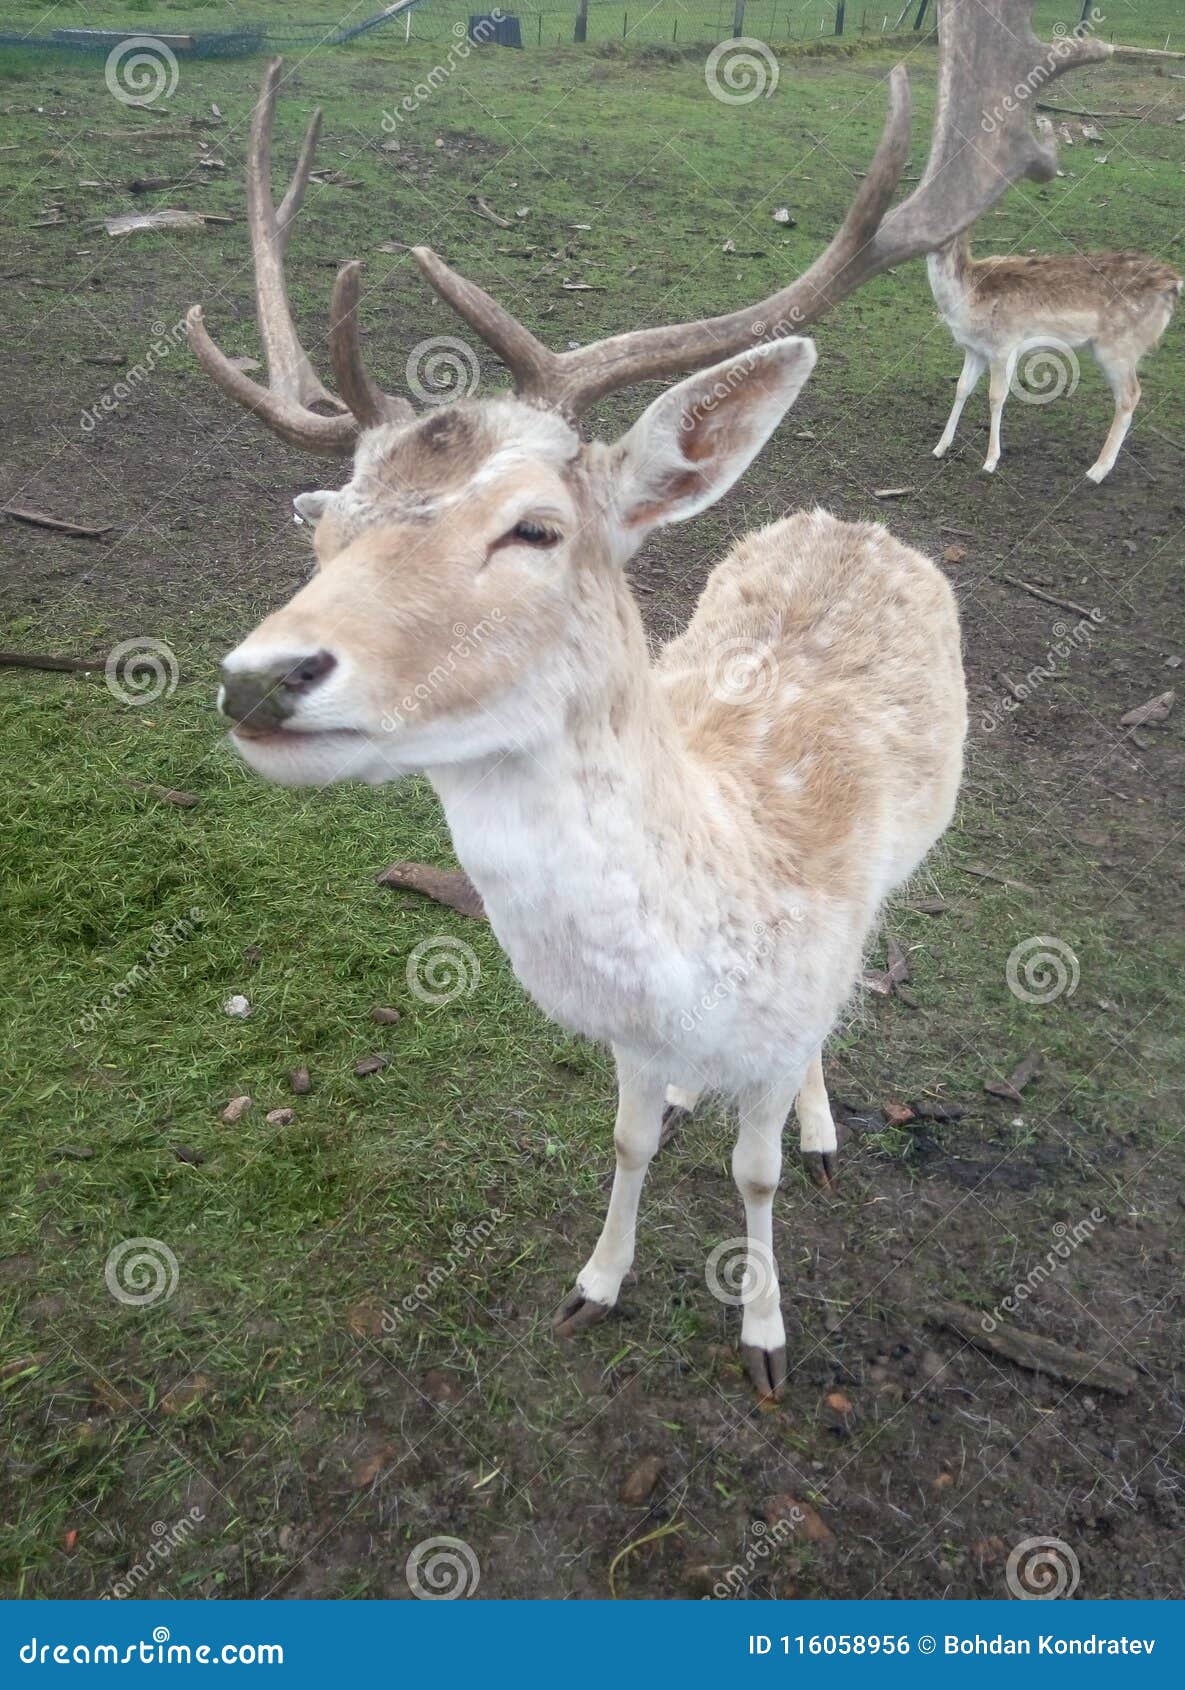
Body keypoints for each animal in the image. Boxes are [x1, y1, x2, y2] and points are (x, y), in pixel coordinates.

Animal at [190, 2, 1104, 1401]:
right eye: (327, 527)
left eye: (535, 527)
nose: (260, 676)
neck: (697, 966)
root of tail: (847, 519)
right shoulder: (624, 1036)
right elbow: (625, 1143)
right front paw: (597, 1282)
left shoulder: (788, 1007)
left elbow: (757, 1167)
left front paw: (767, 1332)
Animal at [928, 233, 1181, 482]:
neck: (969, 296)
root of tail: (1174, 284)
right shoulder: (975, 349)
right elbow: (962, 388)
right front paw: (940, 447)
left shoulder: (1005, 346)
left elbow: (996, 397)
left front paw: (990, 461)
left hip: (1118, 348)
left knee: (1130, 393)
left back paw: (1097, 471)